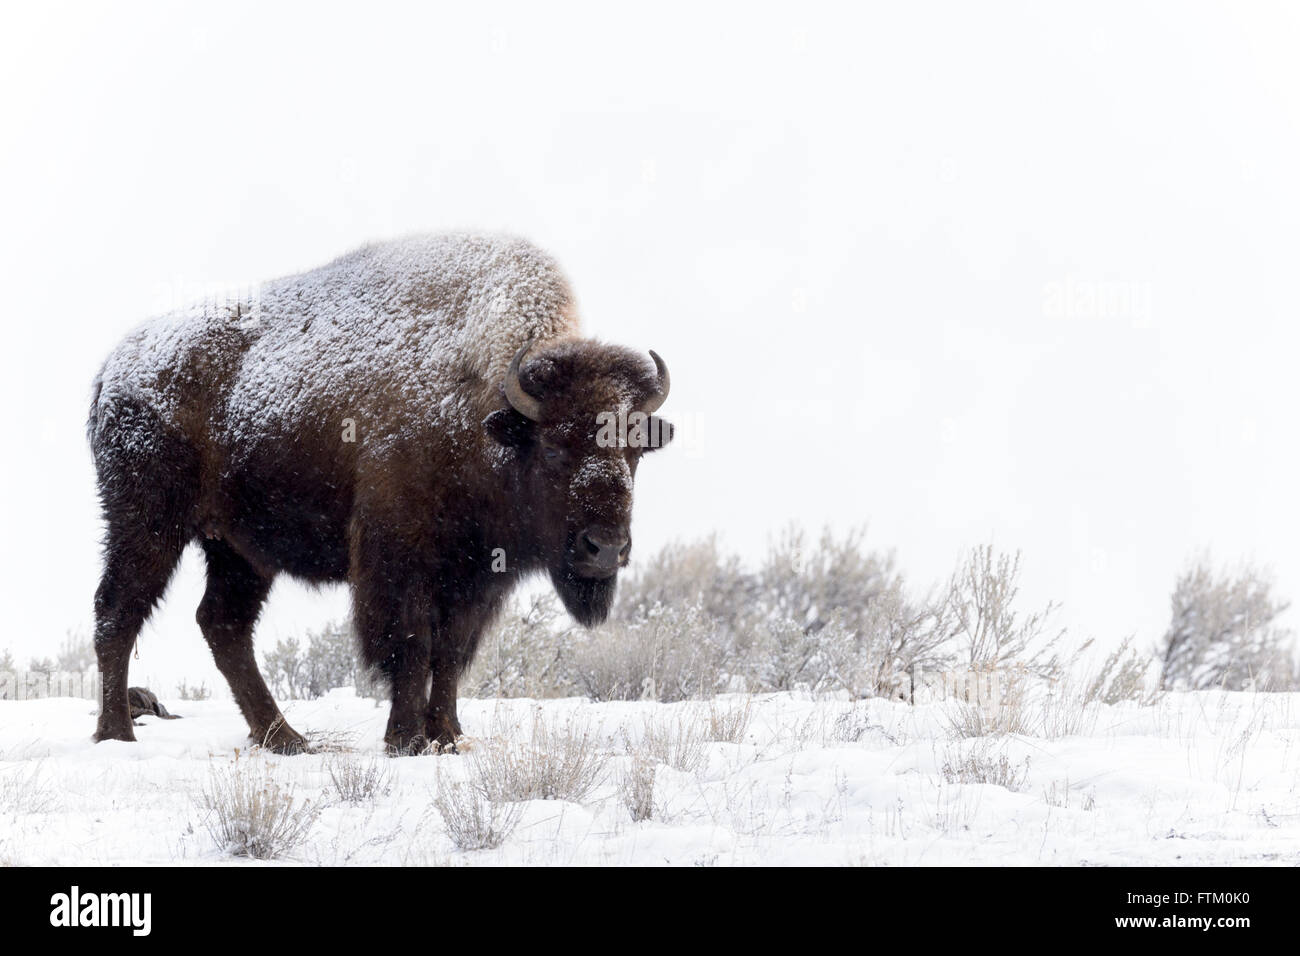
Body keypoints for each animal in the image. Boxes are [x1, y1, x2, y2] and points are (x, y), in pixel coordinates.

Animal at [89, 234, 672, 753]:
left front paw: (448, 736)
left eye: (635, 450)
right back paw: (118, 734)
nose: (605, 548)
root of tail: (111, 371)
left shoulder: (476, 578)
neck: (484, 412)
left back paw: (286, 739)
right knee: (118, 611)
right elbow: (410, 645)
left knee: (222, 625)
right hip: (147, 524)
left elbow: (450, 651)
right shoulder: (398, 560)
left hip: (238, 549)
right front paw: (406, 739)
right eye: (552, 446)